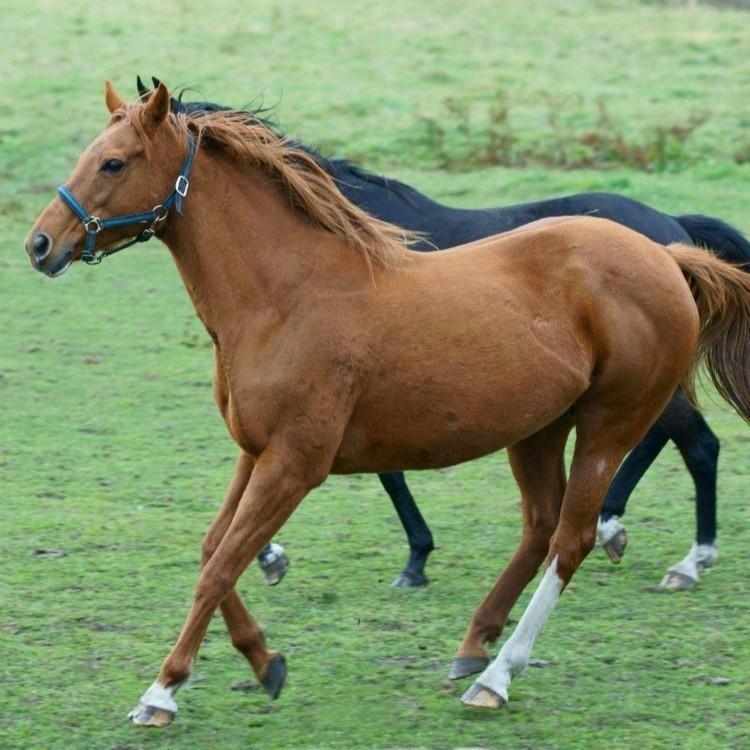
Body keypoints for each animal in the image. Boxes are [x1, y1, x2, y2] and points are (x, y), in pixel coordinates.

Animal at [147, 78, 750, 591]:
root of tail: (670, 235)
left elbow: (388, 474)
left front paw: (411, 557)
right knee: (660, 440)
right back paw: (613, 525)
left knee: (698, 444)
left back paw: (687, 560)